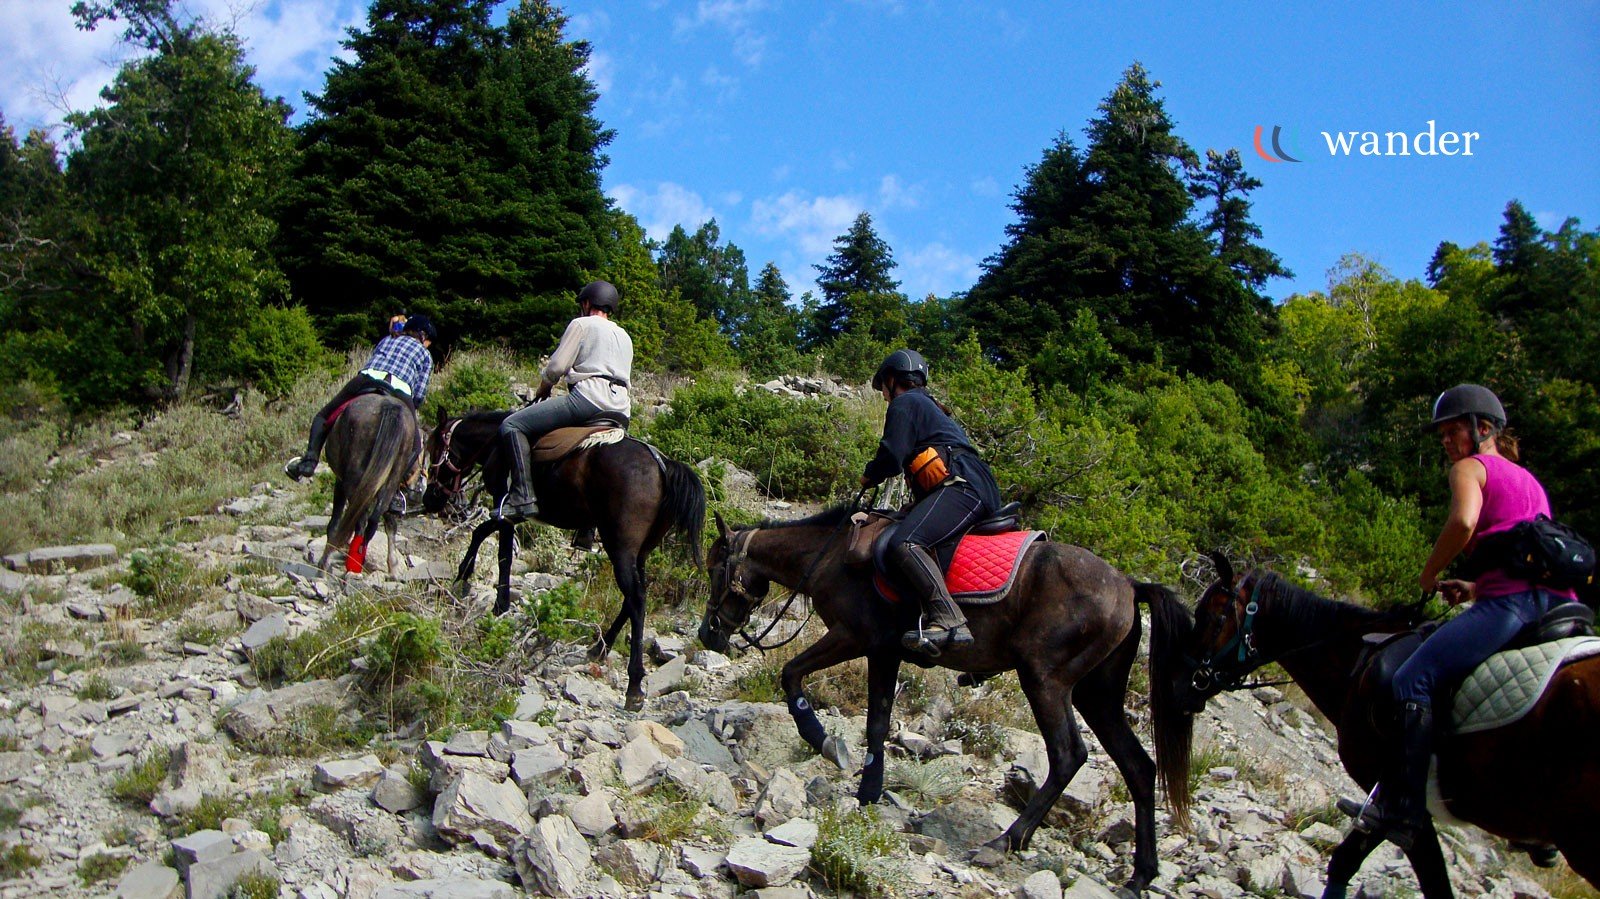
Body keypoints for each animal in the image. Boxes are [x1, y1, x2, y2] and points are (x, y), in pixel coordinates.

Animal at [317, 392, 418, 575]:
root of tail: (388, 406)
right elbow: (390, 523)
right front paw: (393, 566)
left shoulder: (340, 482)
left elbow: (334, 523)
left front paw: (323, 566)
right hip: (391, 477)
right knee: (372, 521)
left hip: (354, 480)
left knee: (359, 521)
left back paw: (351, 565)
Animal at [421, 409, 705, 711]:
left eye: (435, 450)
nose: (430, 500)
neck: (494, 442)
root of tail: (663, 466)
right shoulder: (513, 514)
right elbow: (482, 532)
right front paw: (464, 577)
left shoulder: (505, 505)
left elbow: (502, 553)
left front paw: (496, 601)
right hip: (640, 551)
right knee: (635, 597)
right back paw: (600, 647)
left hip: (620, 545)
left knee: (636, 599)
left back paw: (633, 685)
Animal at [695, 507, 1195, 895]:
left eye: (715, 570)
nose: (707, 634)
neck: (831, 556)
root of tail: (1130, 585)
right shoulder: (885, 651)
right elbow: (878, 722)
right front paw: (868, 790)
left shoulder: (855, 638)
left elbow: (792, 675)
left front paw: (822, 741)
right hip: (1098, 695)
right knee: (1138, 767)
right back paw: (1140, 875)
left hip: (1046, 681)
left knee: (1068, 755)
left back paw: (1005, 841)